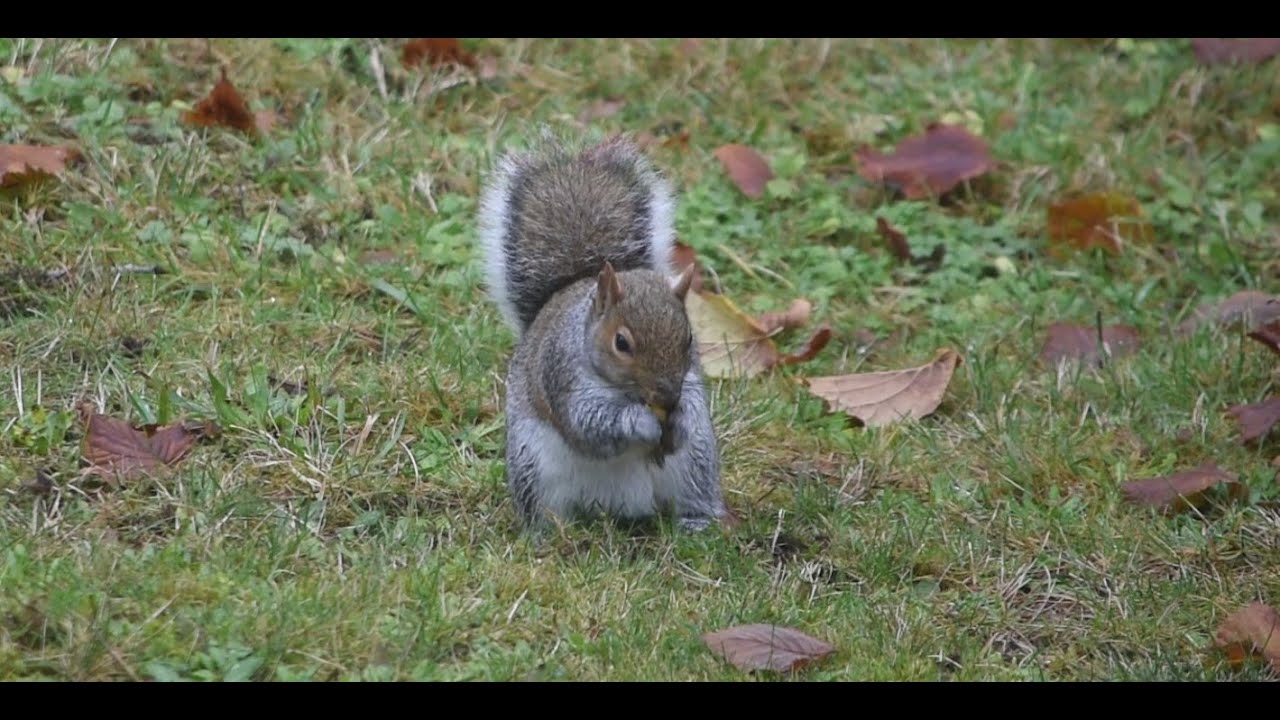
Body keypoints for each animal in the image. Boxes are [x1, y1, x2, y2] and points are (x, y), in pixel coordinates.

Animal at [477, 131, 727, 532]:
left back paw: (697, 523)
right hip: (533, 466)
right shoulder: (562, 377)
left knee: (694, 495)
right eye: (621, 343)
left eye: (689, 339)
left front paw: (682, 418)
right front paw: (640, 422)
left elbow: (692, 402)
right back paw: (547, 532)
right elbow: (591, 423)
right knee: (544, 507)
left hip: (696, 465)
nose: (667, 396)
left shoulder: (689, 381)